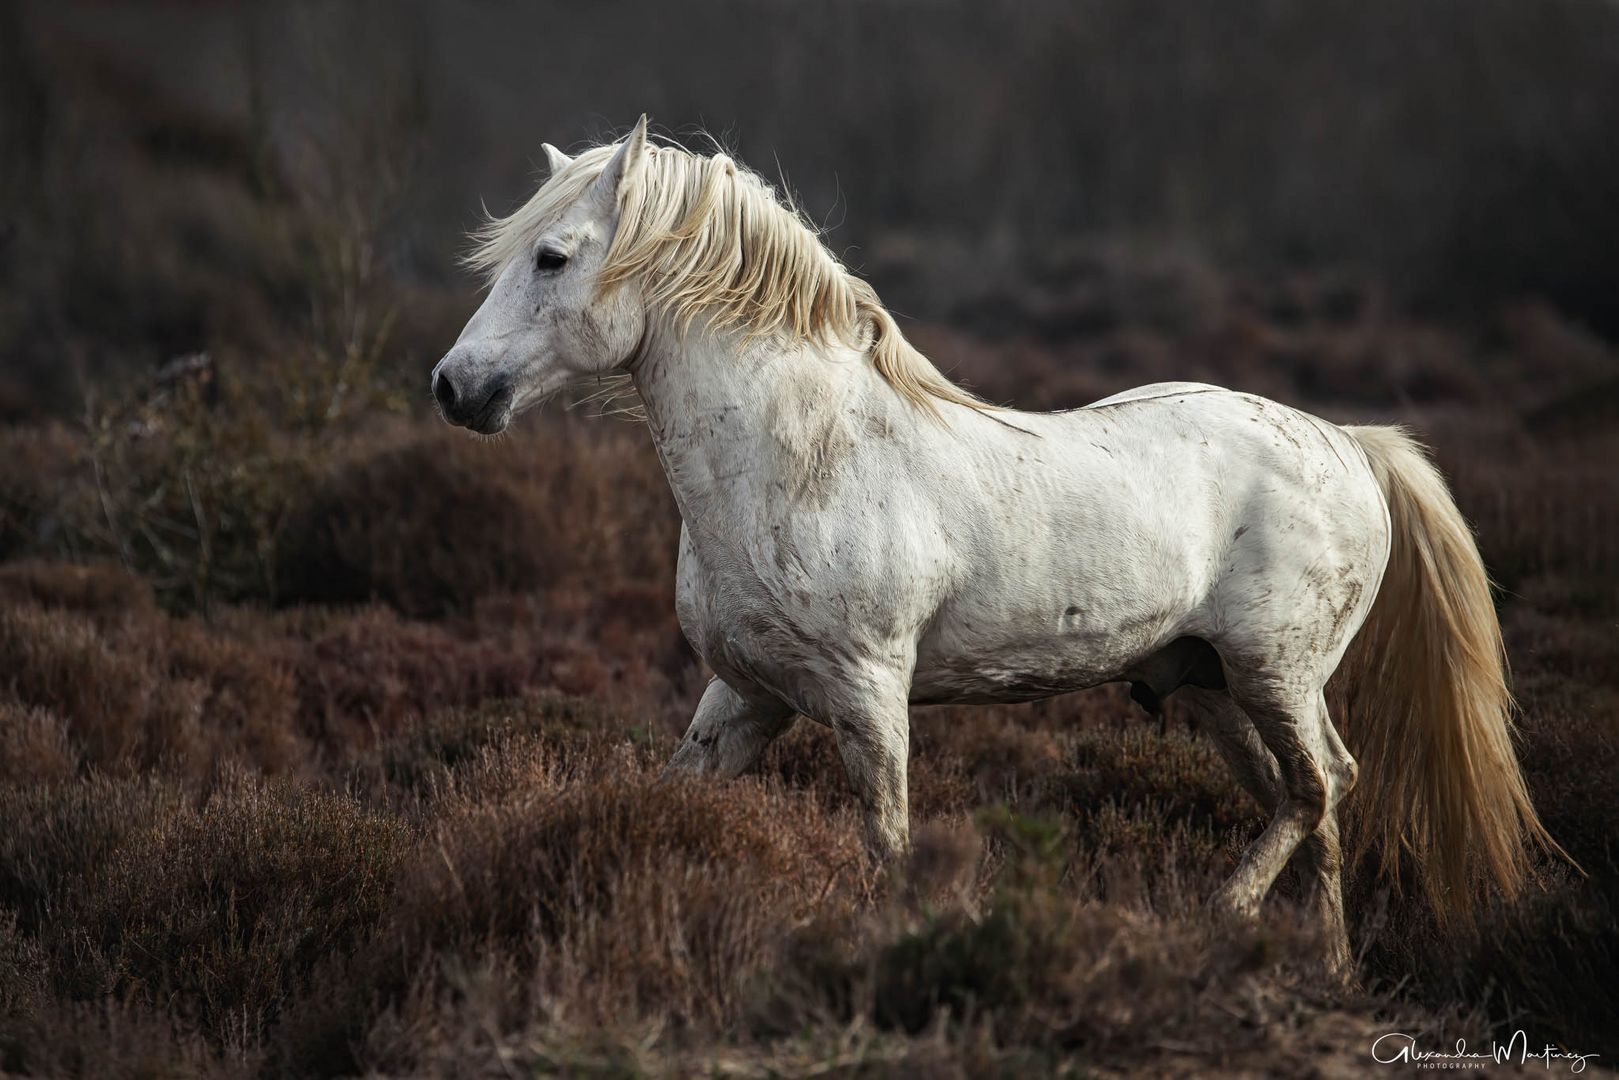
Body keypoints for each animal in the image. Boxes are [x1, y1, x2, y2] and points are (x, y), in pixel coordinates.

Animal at [430, 118, 1554, 971]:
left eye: (551, 256)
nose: (454, 387)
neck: (800, 459)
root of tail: (1347, 443)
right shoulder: (745, 697)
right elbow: (670, 798)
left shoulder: (868, 697)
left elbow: (886, 846)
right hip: (1206, 684)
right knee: (1310, 799)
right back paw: (1323, 970)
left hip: (1273, 671)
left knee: (1321, 785)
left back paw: (1223, 920)